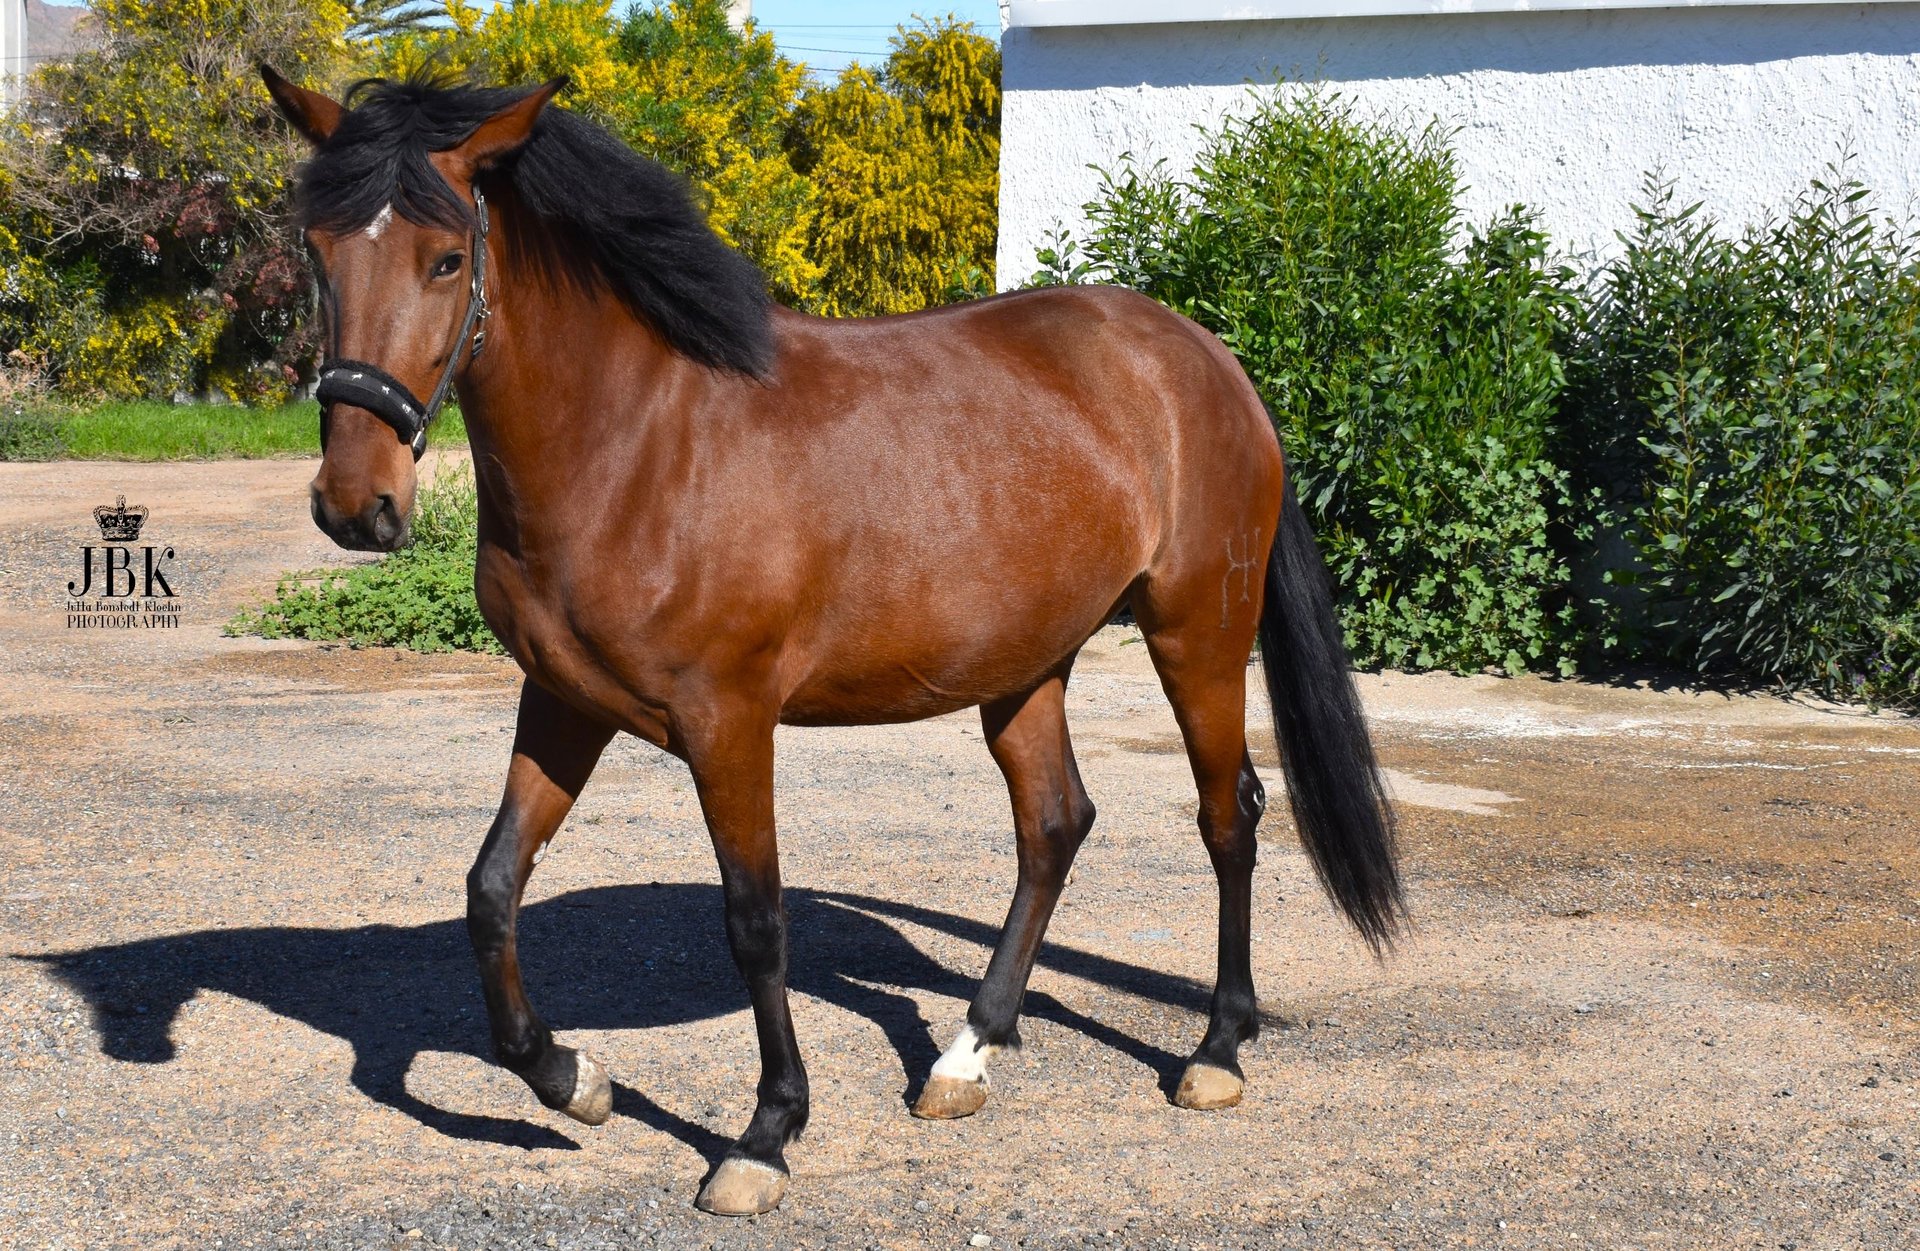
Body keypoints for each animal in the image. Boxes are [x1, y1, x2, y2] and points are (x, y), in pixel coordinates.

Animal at [259, 67, 1403, 1217]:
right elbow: (492, 890)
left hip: (1197, 633)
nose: (356, 505)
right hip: (1025, 663)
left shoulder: (729, 722)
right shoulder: (565, 702)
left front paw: (765, 1136)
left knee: (1228, 814)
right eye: (316, 249)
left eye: (448, 258)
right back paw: (965, 1057)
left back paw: (1216, 1049)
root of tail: (1207, 360)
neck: (636, 440)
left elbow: (755, 918)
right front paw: (572, 1080)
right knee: (1054, 825)